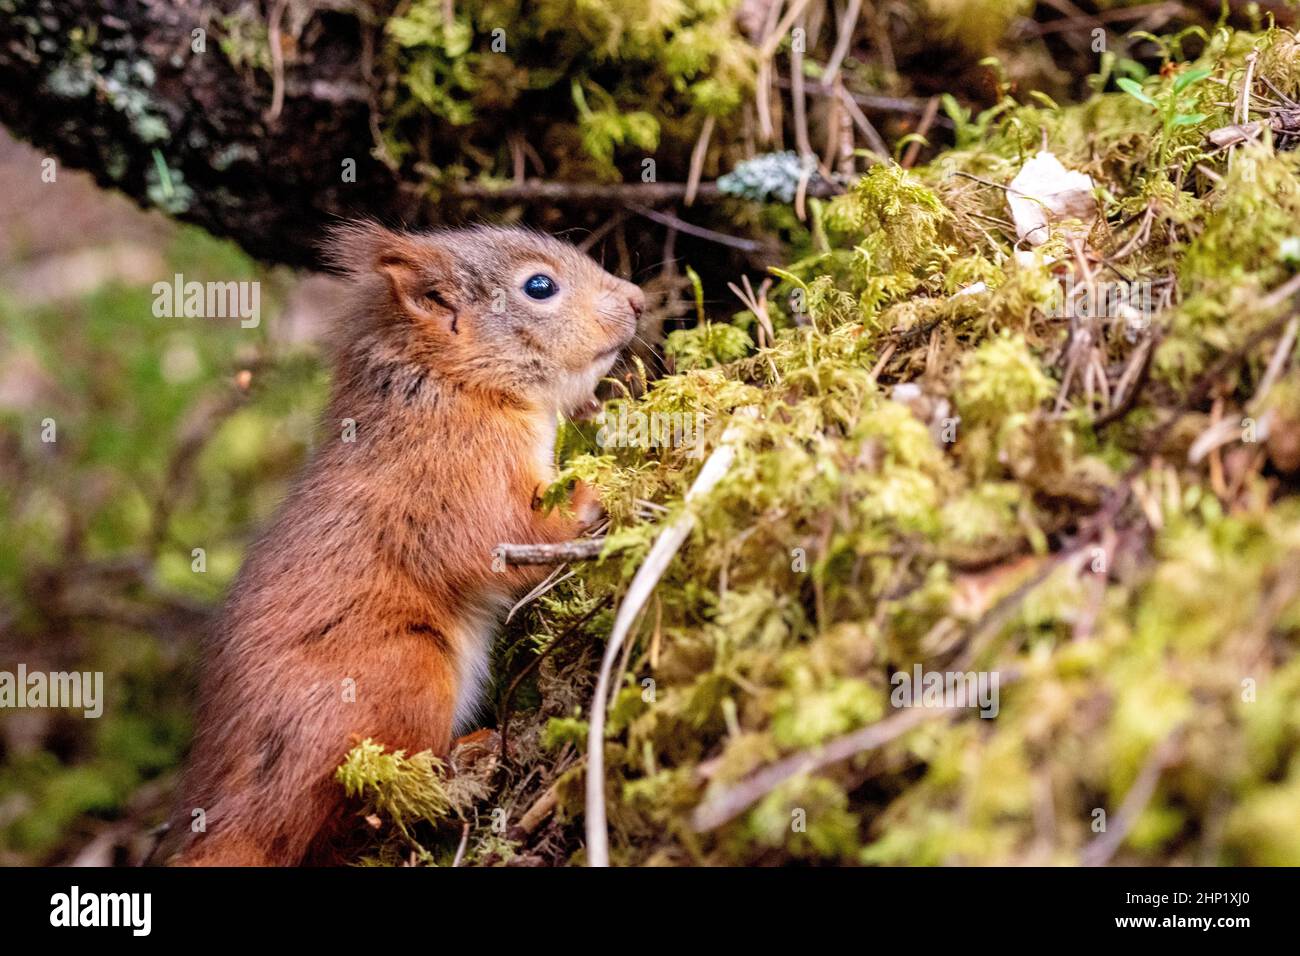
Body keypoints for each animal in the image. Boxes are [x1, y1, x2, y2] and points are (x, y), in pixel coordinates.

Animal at [161, 221, 644, 866]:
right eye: (539, 286)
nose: (638, 300)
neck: (450, 386)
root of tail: (240, 812)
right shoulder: (455, 476)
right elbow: (504, 534)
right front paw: (596, 487)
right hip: (402, 671)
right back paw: (465, 757)